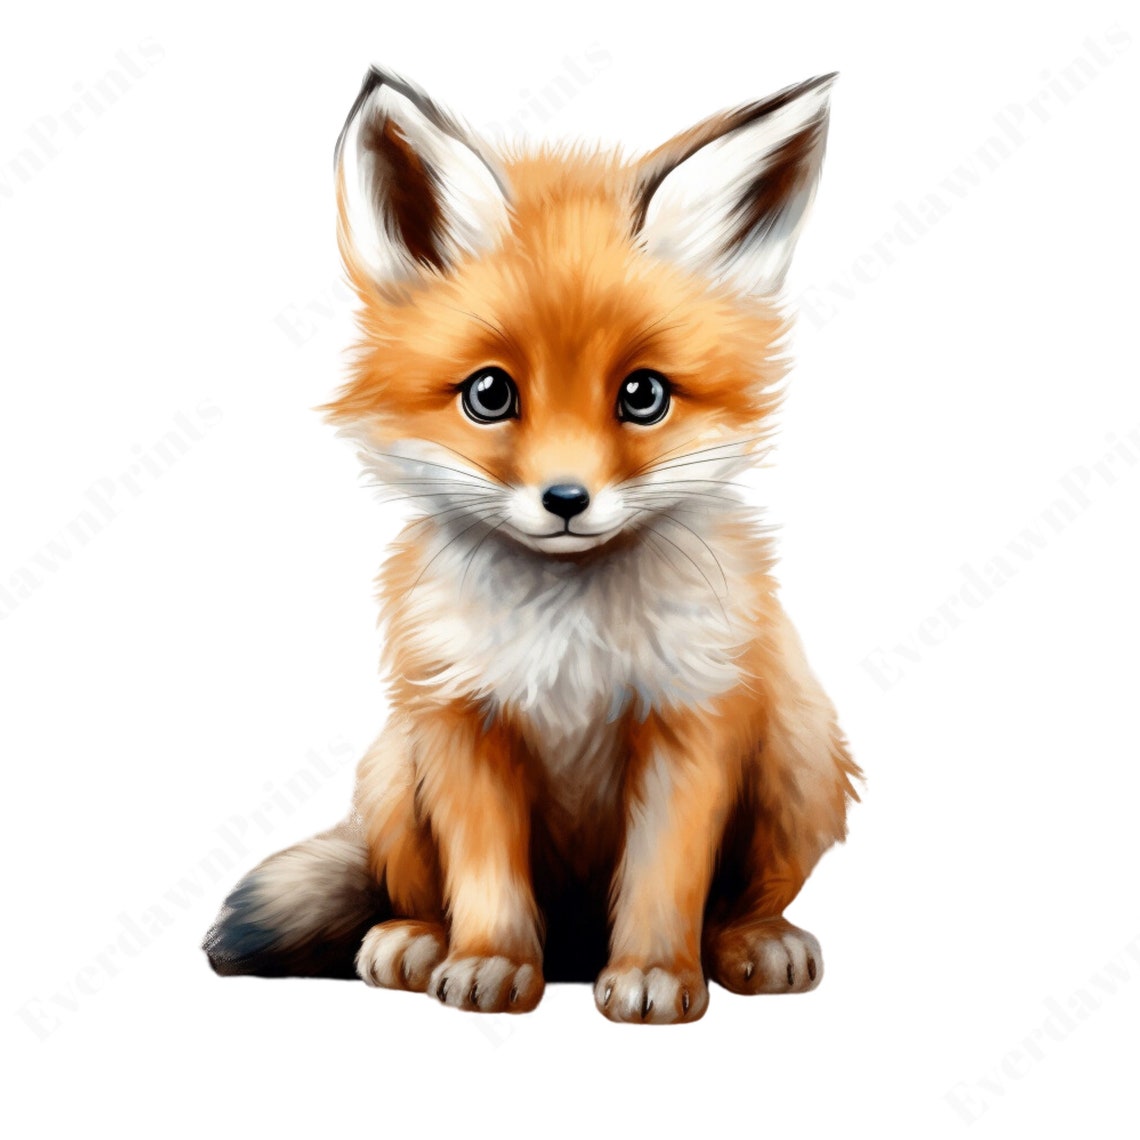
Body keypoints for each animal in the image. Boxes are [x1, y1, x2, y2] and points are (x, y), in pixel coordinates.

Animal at [203, 66, 862, 1023]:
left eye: (643, 395)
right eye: (489, 394)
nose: (565, 501)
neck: (568, 638)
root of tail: (578, 945)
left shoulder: (689, 720)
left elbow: (664, 880)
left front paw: (655, 974)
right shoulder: (463, 722)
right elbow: (486, 879)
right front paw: (488, 962)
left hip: (800, 754)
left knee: (745, 900)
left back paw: (752, 943)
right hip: (394, 768)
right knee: (409, 890)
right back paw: (414, 942)